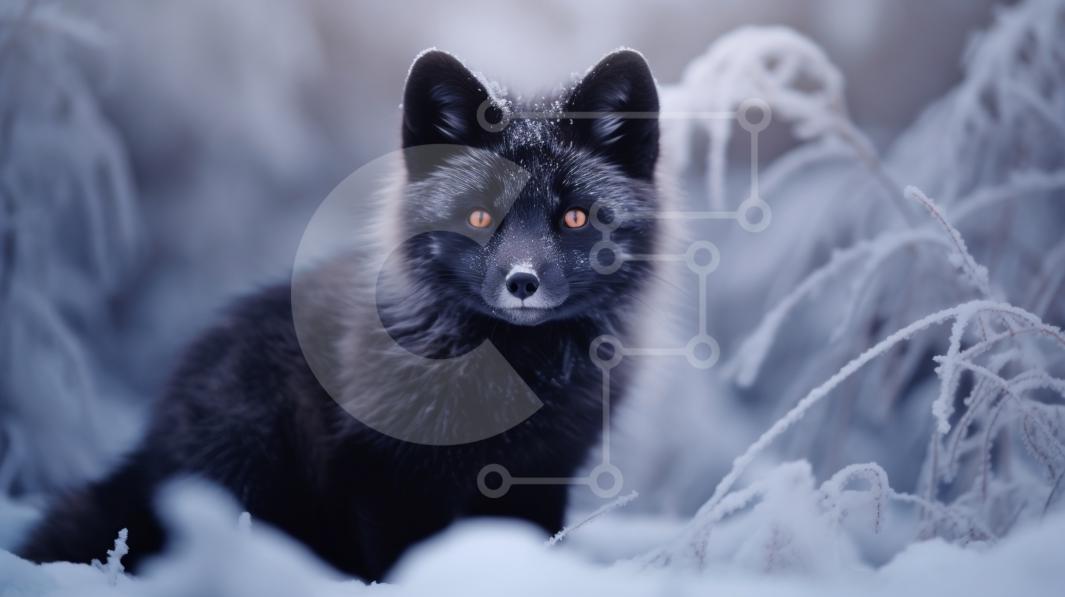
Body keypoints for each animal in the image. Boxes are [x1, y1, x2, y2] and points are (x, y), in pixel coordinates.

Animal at [18, 48, 661, 581]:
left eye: (574, 218)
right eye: (479, 217)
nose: (522, 282)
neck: (517, 376)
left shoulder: (541, 471)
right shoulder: (386, 472)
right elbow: (403, 559)